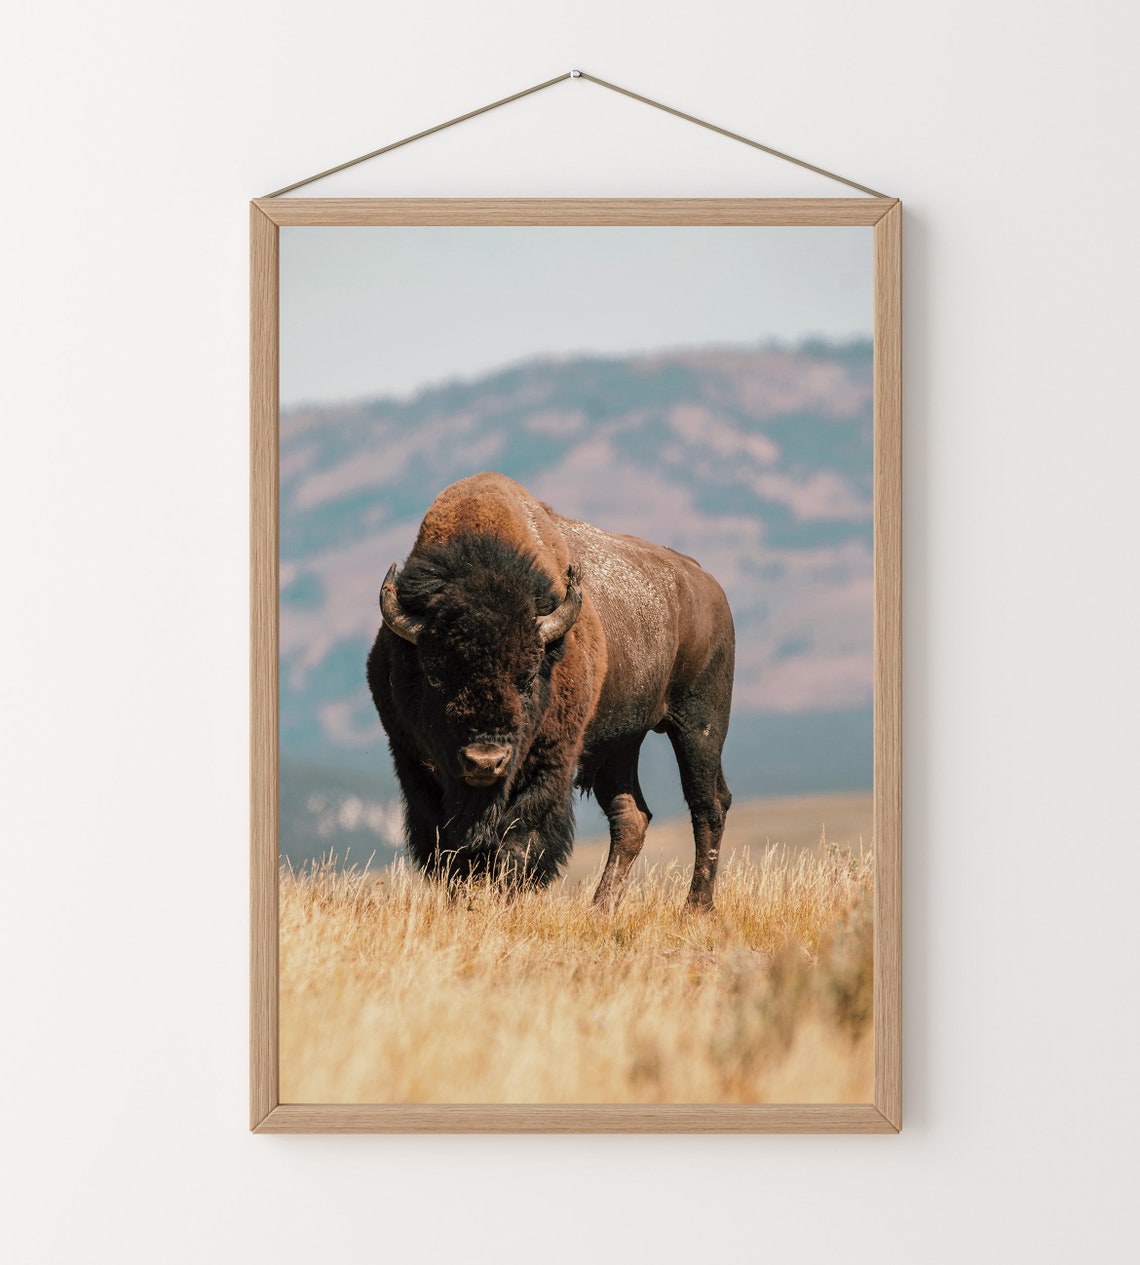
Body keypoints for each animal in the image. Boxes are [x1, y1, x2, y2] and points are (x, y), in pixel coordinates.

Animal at [366, 472, 735, 909]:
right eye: (436, 677)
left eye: (527, 678)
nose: (485, 761)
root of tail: (706, 583)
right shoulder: (412, 760)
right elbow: (446, 847)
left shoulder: (550, 761)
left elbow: (519, 839)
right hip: (620, 744)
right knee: (631, 817)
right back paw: (600, 908)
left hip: (699, 725)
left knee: (707, 805)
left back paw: (696, 907)